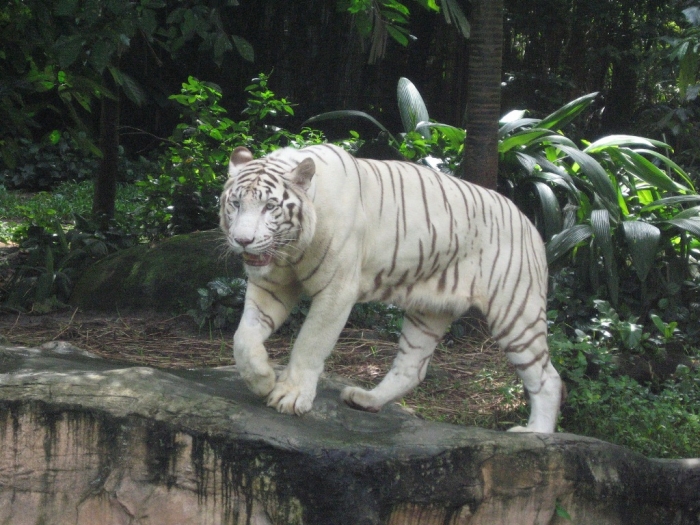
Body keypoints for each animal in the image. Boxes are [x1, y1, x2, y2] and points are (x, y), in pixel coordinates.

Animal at [220, 143, 563, 433]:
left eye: (270, 206)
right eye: (235, 203)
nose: (243, 240)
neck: (290, 252)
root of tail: (530, 224)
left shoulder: (336, 290)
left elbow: (310, 343)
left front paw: (289, 397)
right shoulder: (270, 284)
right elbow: (243, 338)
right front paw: (262, 380)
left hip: (515, 312)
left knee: (548, 377)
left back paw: (535, 433)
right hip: (429, 309)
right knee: (412, 368)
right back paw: (366, 399)